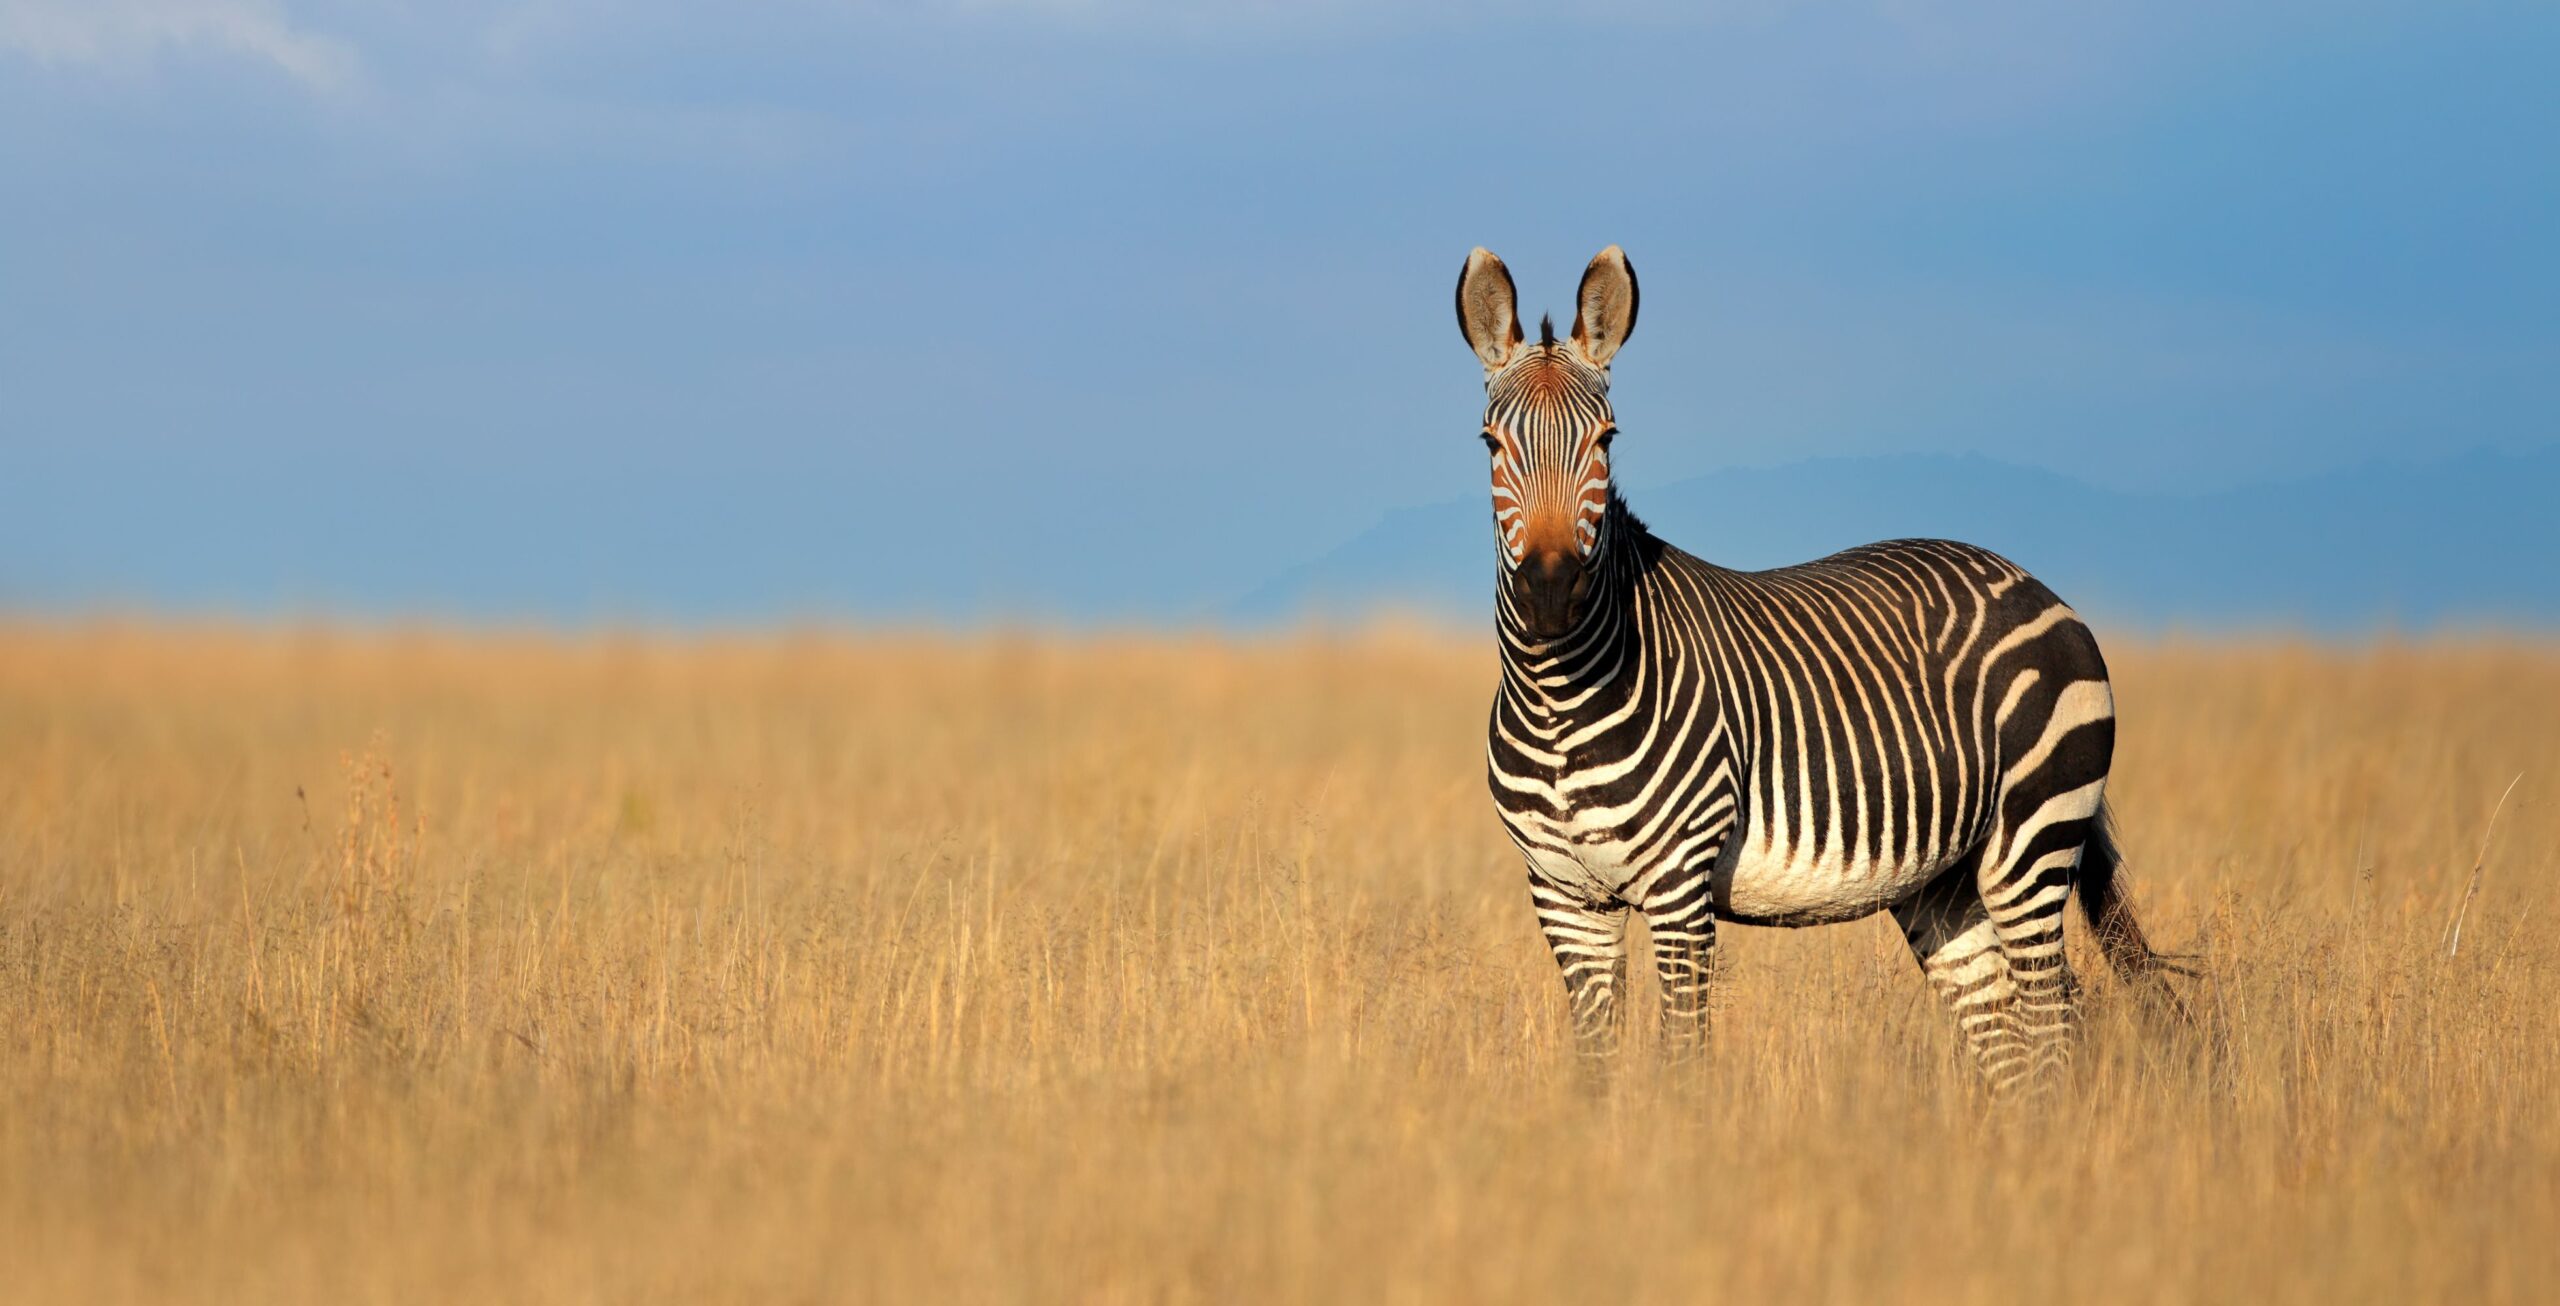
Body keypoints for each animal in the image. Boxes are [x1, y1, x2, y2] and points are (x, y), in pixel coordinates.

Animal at [1457, 245, 2179, 1098]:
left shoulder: (1678, 888)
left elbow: (1682, 1057)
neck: (1559, 699)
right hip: (1945, 882)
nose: (1549, 594)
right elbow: (1597, 1067)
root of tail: (2031, 582)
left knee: (2055, 1020)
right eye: (1490, 444)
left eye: (1605, 440)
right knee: (2004, 1035)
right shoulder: (1567, 899)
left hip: (2032, 838)